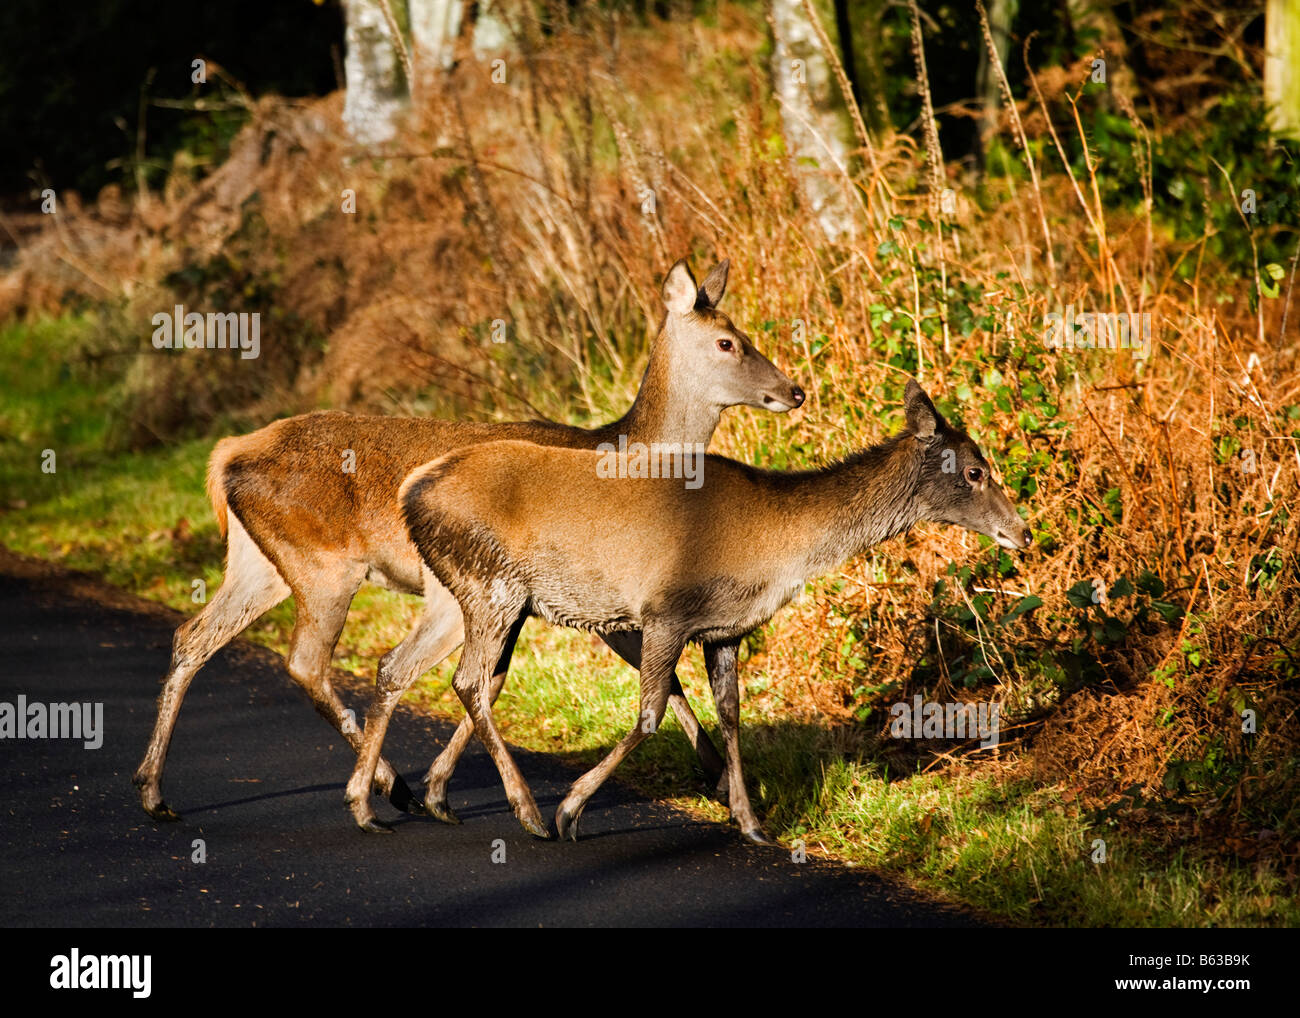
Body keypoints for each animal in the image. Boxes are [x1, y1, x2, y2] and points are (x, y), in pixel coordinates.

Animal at [133, 258, 806, 832]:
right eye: (728, 343)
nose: (794, 391)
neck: (625, 450)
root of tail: (227, 455)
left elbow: (498, 679)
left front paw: (440, 789)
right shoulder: (599, 595)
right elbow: (649, 682)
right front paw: (722, 784)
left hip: (259, 564)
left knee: (194, 637)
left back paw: (155, 791)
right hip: (325, 565)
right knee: (304, 661)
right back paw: (387, 789)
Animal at [398, 379, 1033, 844]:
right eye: (975, 471)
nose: (1023, 532)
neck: (777, 553)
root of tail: (412, 493)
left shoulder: (726, 629)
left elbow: (730, 714)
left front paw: (751, 822)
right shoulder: (665, 611)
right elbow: (649, 714)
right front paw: (571, 810)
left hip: (491, 596)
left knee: (466, 678)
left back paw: (436, 796)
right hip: (489, 583)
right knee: (468, 680)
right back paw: (528, 811)